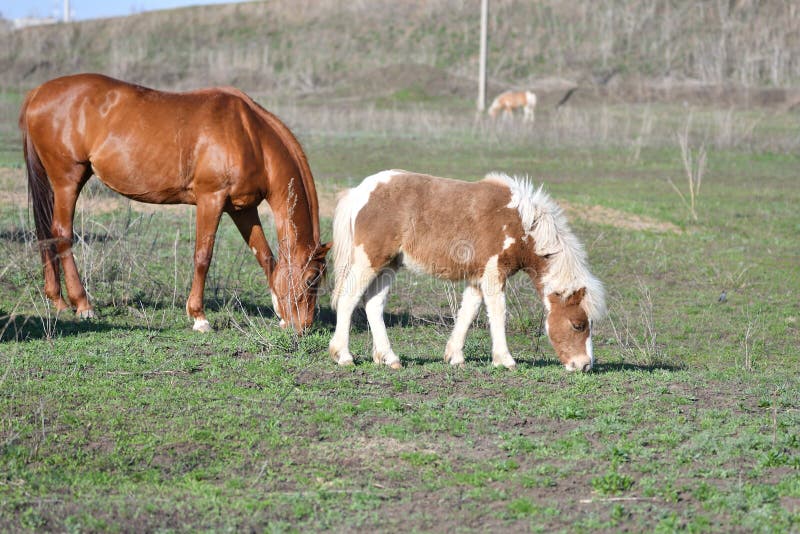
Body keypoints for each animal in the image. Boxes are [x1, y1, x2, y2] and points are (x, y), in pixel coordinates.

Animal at [19, 73, 330, 334]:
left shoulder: (242, 209)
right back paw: (82, 305)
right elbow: (203, 256)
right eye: (311, 278)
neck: (250, 135)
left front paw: (279, 312)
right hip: (67, 181)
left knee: (48, 232)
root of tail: (37, 92)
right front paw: (199, 317)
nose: (304, 327)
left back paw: (58, 300)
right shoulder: (211, 199)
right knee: (61, 233)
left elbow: (265, 256)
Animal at [328, 170, 605, 371]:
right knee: (348, 298)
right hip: (370, 260)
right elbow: (498, 312)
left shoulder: (477, 278)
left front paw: (455, 356)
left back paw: (389, 358)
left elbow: (468, 313)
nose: (584, 366)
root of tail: (359, 192)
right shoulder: (494, 274)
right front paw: (505, 360)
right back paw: (343, 355)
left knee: (373, 304)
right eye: (578, 325)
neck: (520, 225)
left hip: (389, 265)